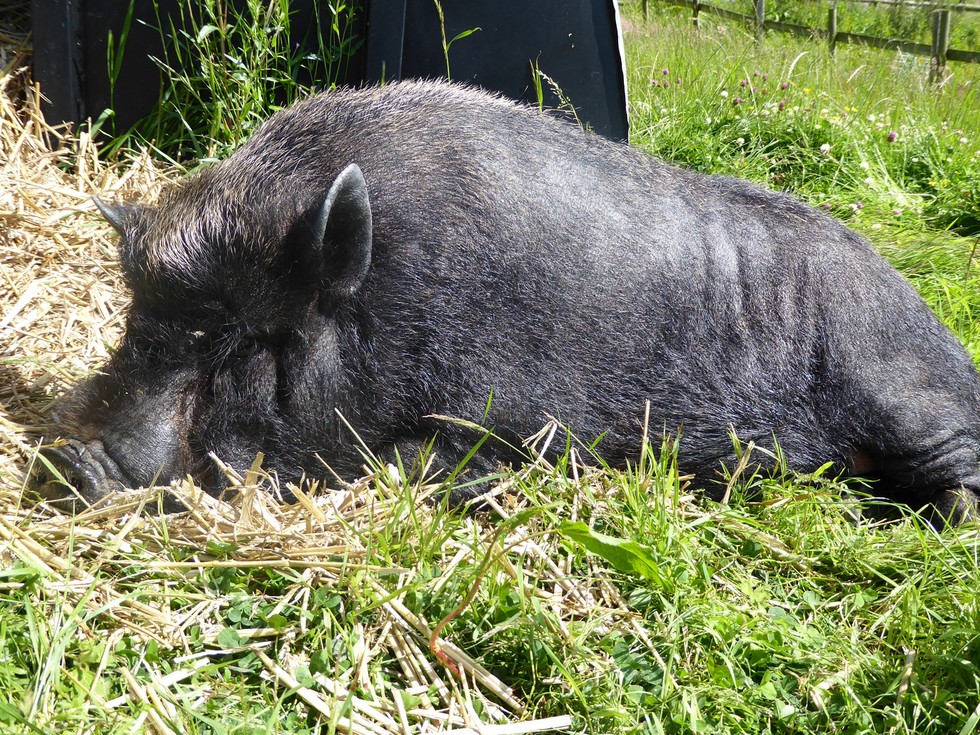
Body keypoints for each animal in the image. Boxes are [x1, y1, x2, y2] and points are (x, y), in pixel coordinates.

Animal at [34, 80, 980, 523]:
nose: (72, 457)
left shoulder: (513, 414)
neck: (391, 298)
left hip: (903, 391)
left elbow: (419, 461)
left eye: (236, 341)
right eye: (133, 327)